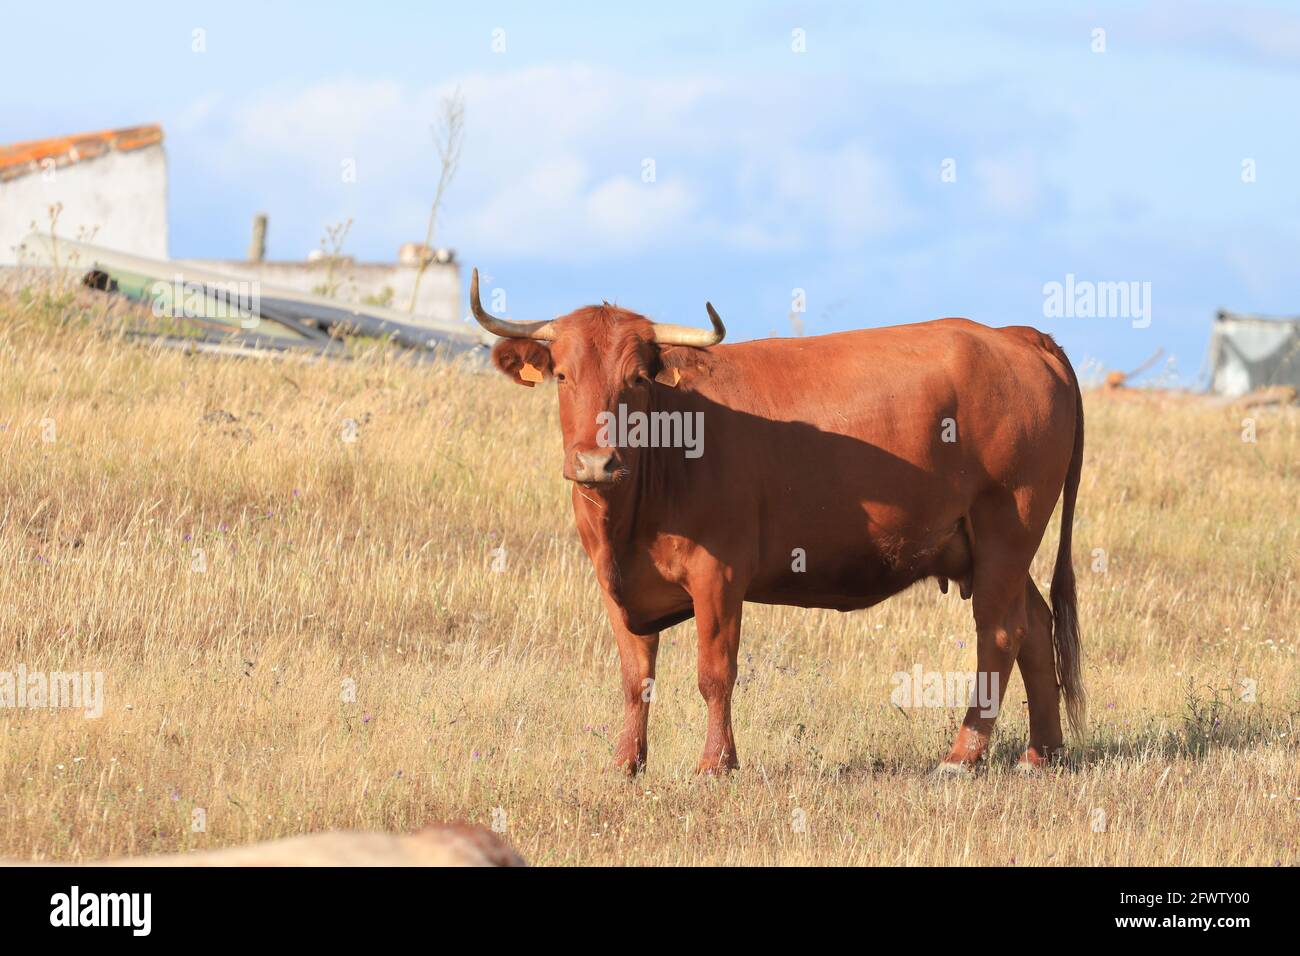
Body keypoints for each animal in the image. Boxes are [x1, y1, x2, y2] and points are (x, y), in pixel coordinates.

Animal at [471, 269, 1085, 776]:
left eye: (638, 380)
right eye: (563, 376)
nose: (597, 462)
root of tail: (1017, 335)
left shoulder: (718, 576)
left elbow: (714, 673)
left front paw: (715, 765)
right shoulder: (616, 585)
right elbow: (634, 677)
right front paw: (626, 763)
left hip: (1007, 526)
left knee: (999, 633)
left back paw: (962, 757)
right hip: (988, 548)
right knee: (1035, 625)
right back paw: (1041, 754)